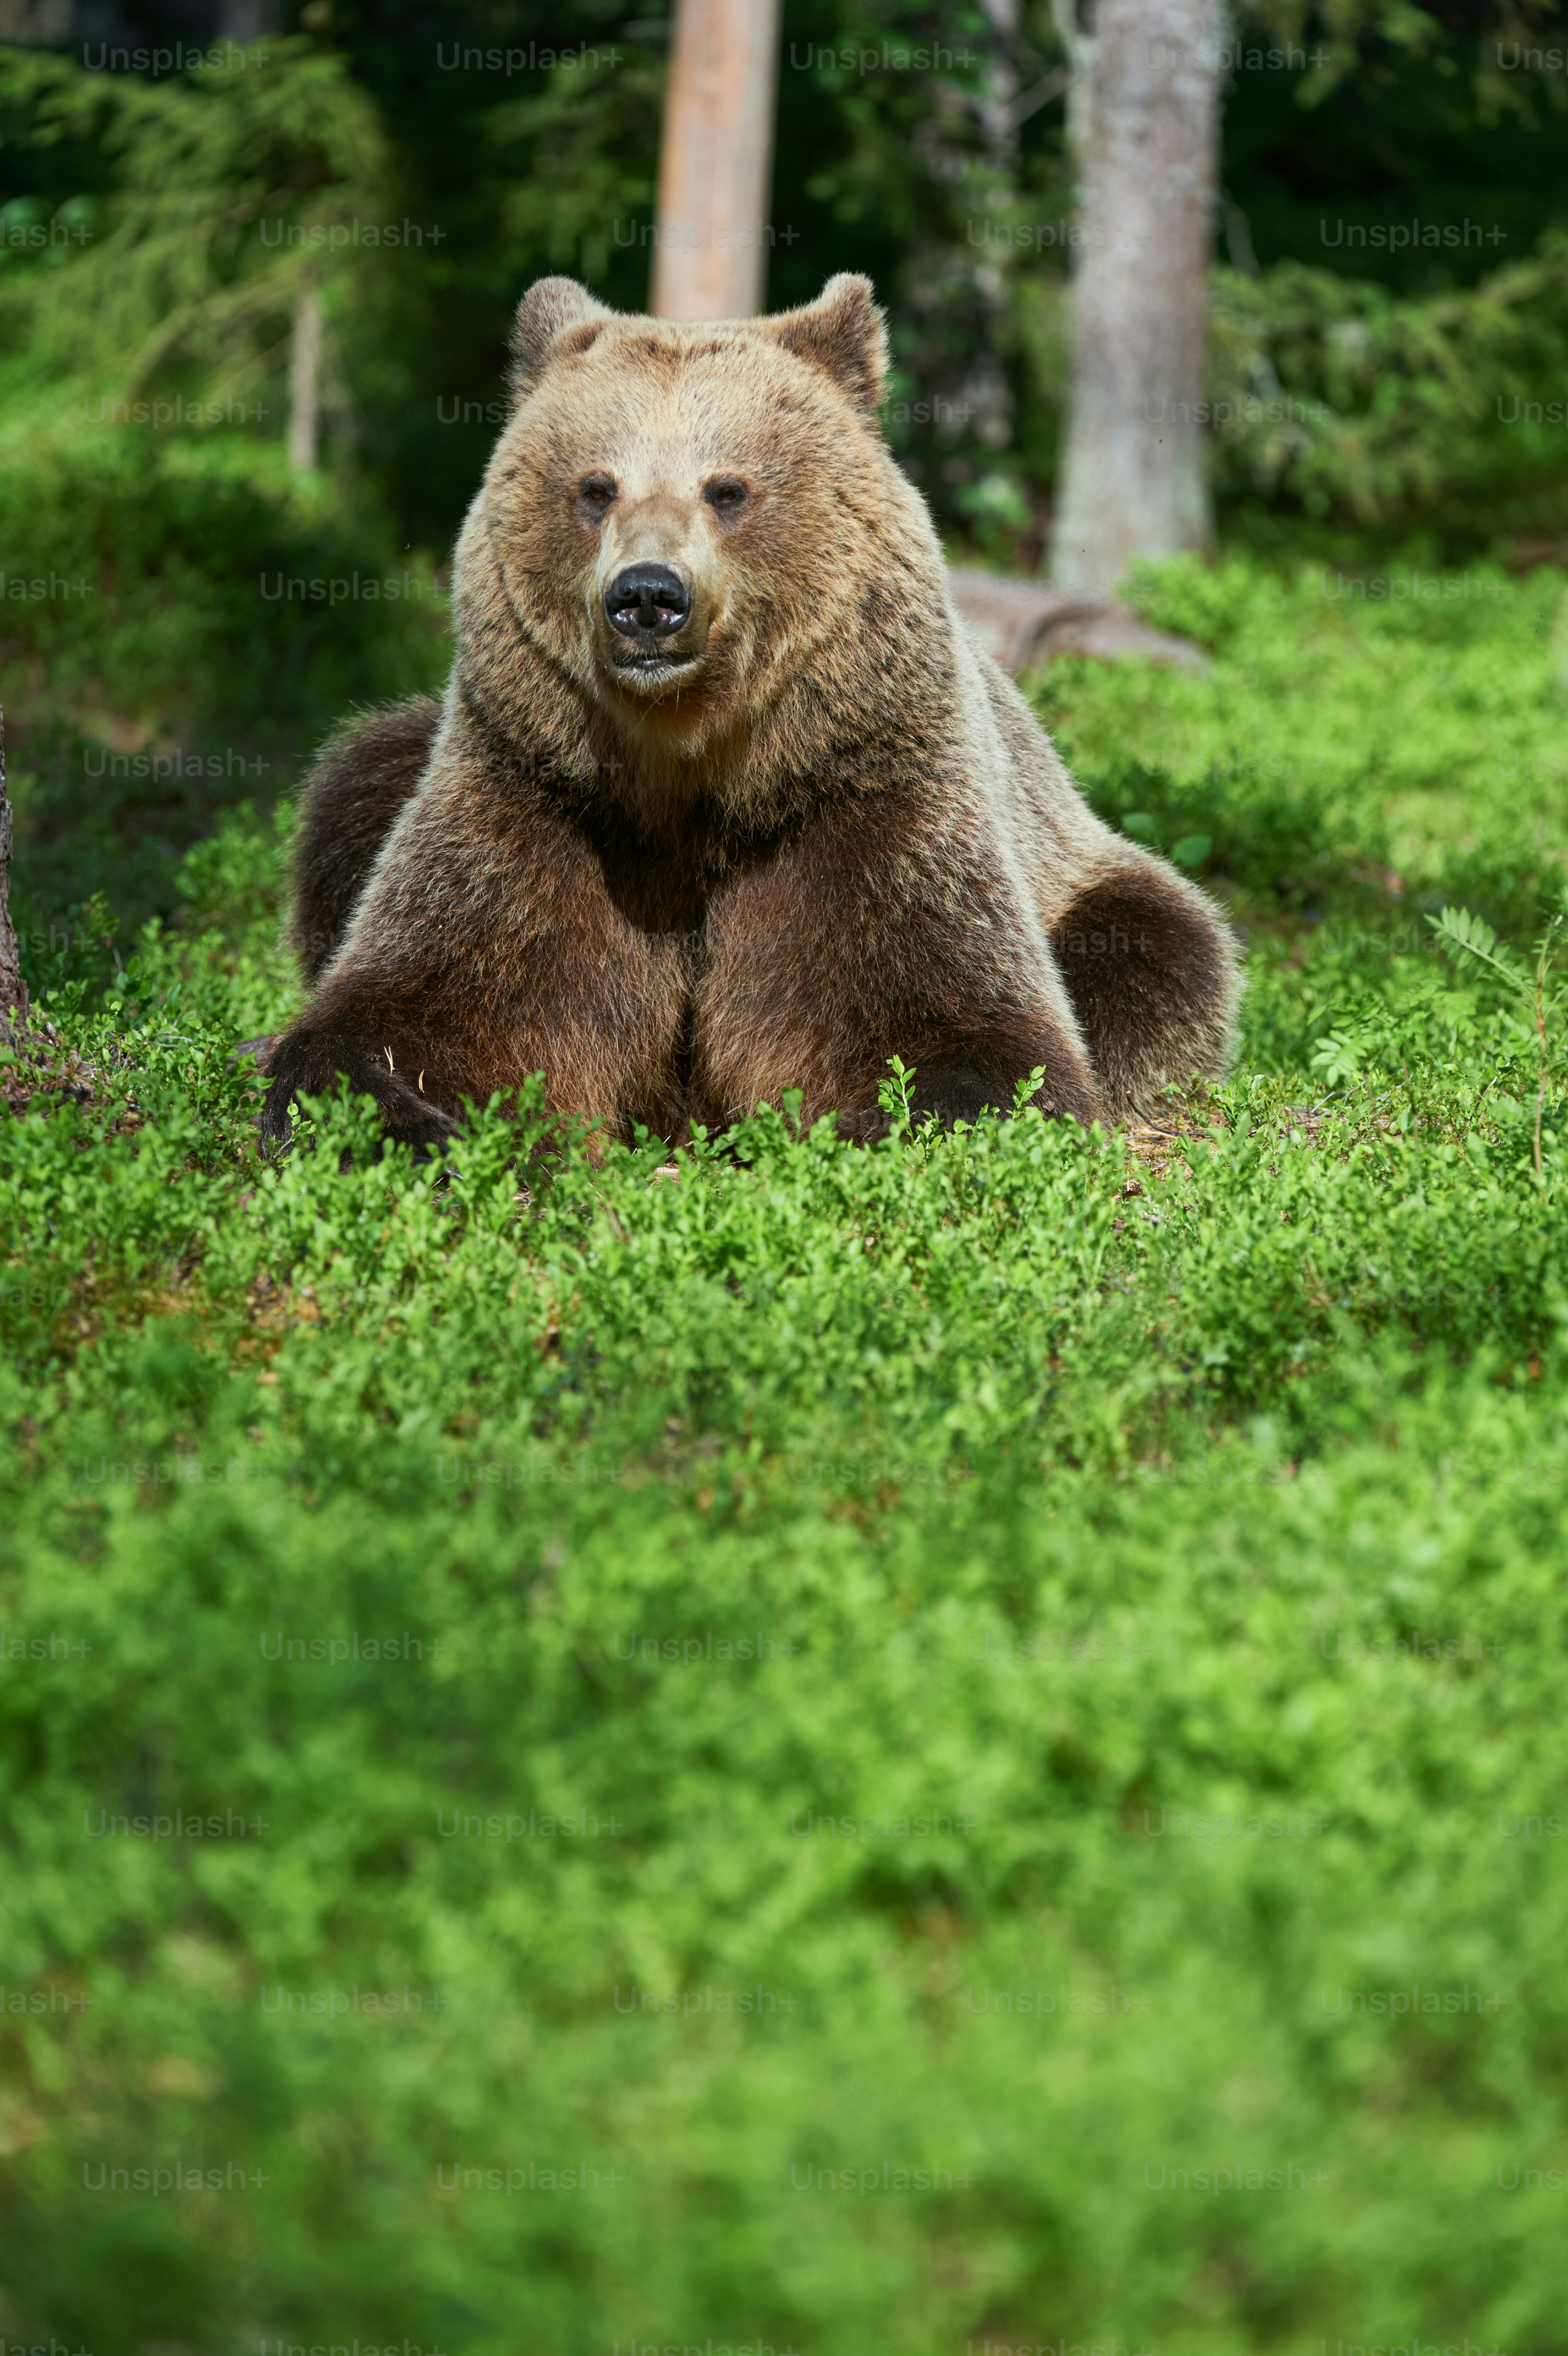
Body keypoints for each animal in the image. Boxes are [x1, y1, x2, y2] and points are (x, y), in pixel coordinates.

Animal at [261, 272, 1239, 1152]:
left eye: (726, 488)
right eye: (596, 487)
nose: (647, 598)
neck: (688, 768)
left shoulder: (861, 791)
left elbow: (950, 1026)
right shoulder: (543, 793)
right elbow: (444, 992)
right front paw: (393, 1116)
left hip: (1079, 863)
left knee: (1159, 950)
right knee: (353, 795)